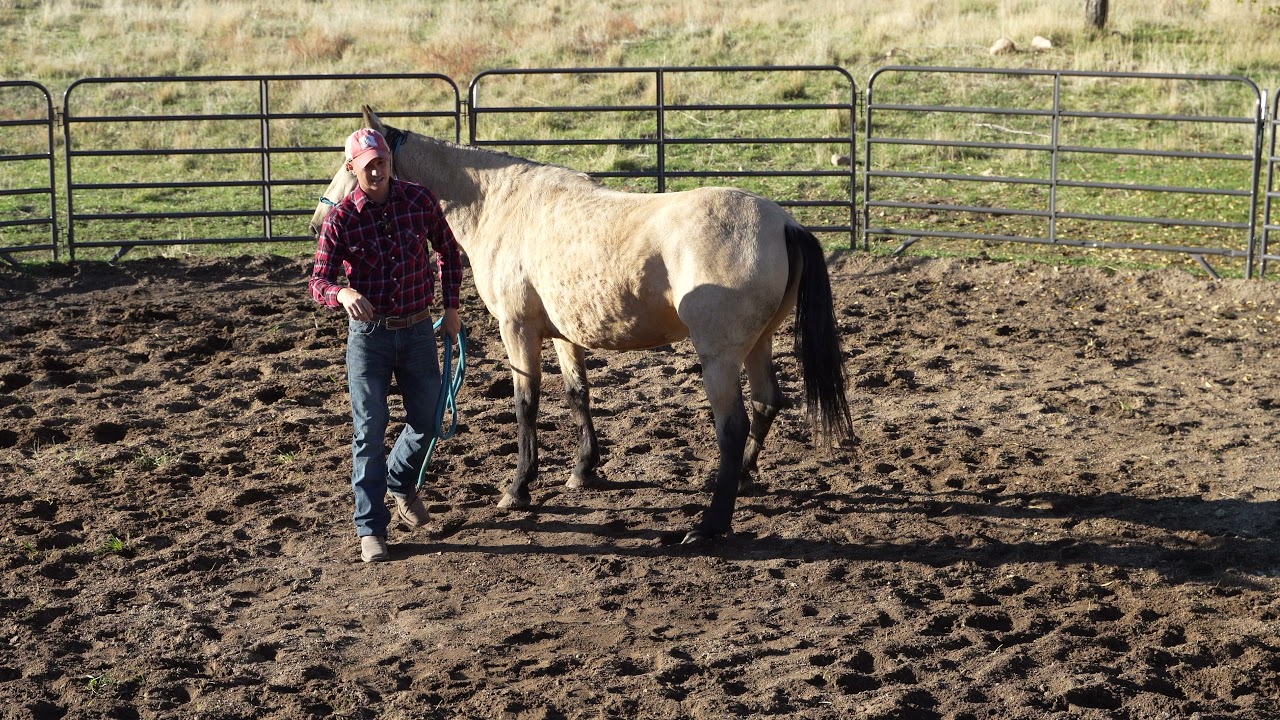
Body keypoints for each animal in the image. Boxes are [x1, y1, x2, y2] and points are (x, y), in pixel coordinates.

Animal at [311, 106, 852, 544]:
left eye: (349, 164)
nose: (321, 221)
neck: (500, 204)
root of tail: (784, 223)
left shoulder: (517, 330)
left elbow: (526, 404)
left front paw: (519, 487)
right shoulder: (565, 336)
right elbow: (577, 394)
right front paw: (583, 470)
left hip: (719, 356)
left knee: (733, 424)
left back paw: (709, 525)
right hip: (758, 343)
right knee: (766, 403)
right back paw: (738, 479)